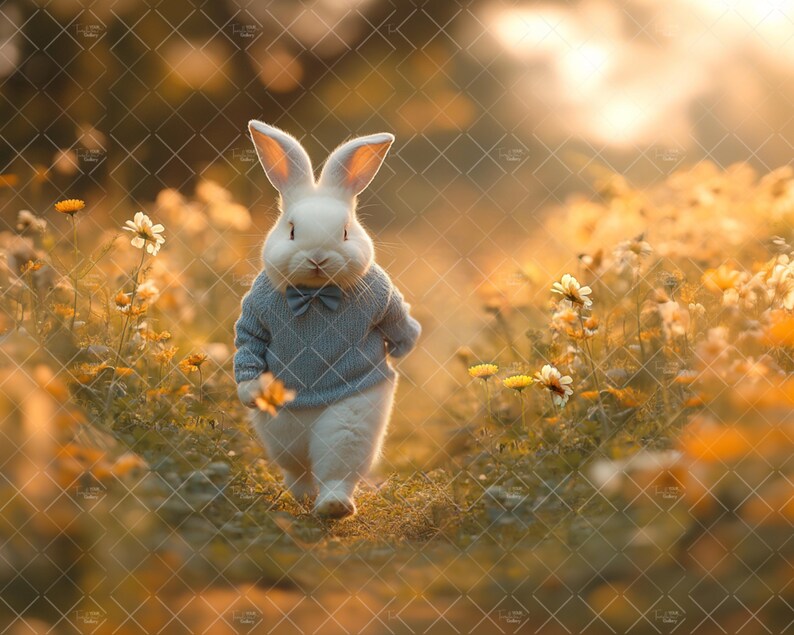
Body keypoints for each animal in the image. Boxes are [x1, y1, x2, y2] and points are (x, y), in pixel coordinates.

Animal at [234, 121, 421, 519]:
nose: (318, 257)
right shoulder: (255, 311)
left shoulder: (382, 296)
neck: (317, 295)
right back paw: (304, 495)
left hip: (349, 424)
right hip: (281, 431)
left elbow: (397, 319)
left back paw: (334, 505)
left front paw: (406, 343)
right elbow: (249, 342)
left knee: (335, 464)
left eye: (346, 232)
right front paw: (249, 392)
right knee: (297, 468)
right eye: (291, 229)